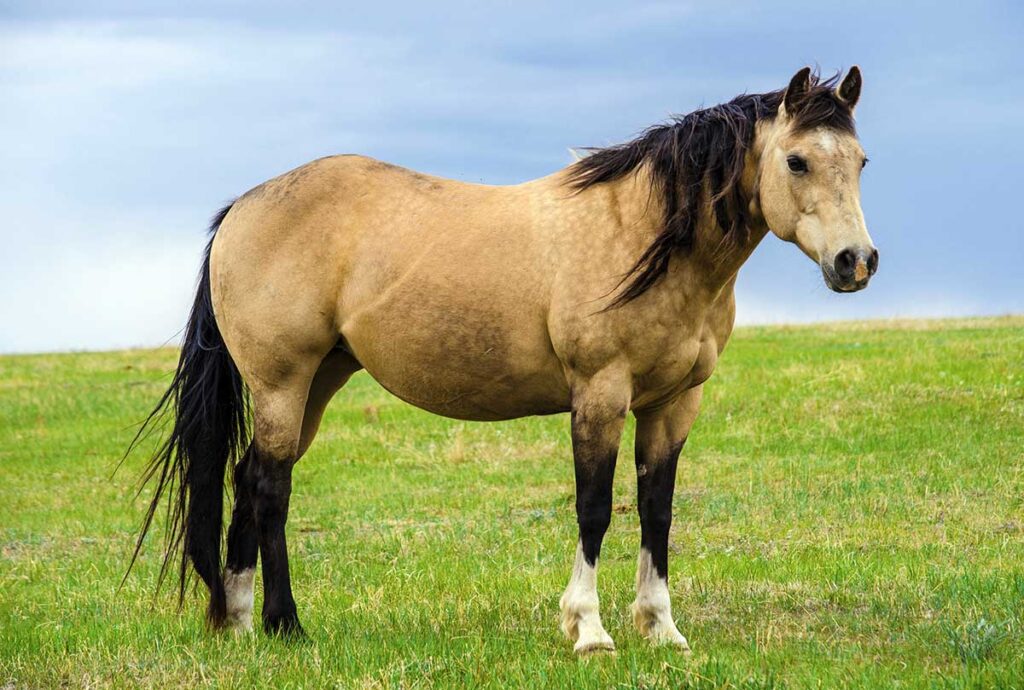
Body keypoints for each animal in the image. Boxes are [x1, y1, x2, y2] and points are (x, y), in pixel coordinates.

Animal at [128, 66, 877, 654]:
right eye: (797, 161)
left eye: (862, 162)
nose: (855, 262)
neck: (639, 236)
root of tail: (242, 208)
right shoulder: (599, 395)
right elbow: (595, 509)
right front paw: (589, 630)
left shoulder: (672, 405)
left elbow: (657, 512)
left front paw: (661, 628)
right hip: (283, 384)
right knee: (270, 487)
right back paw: (285, 626)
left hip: (317, 382)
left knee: (248, 476)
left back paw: (237, 621)